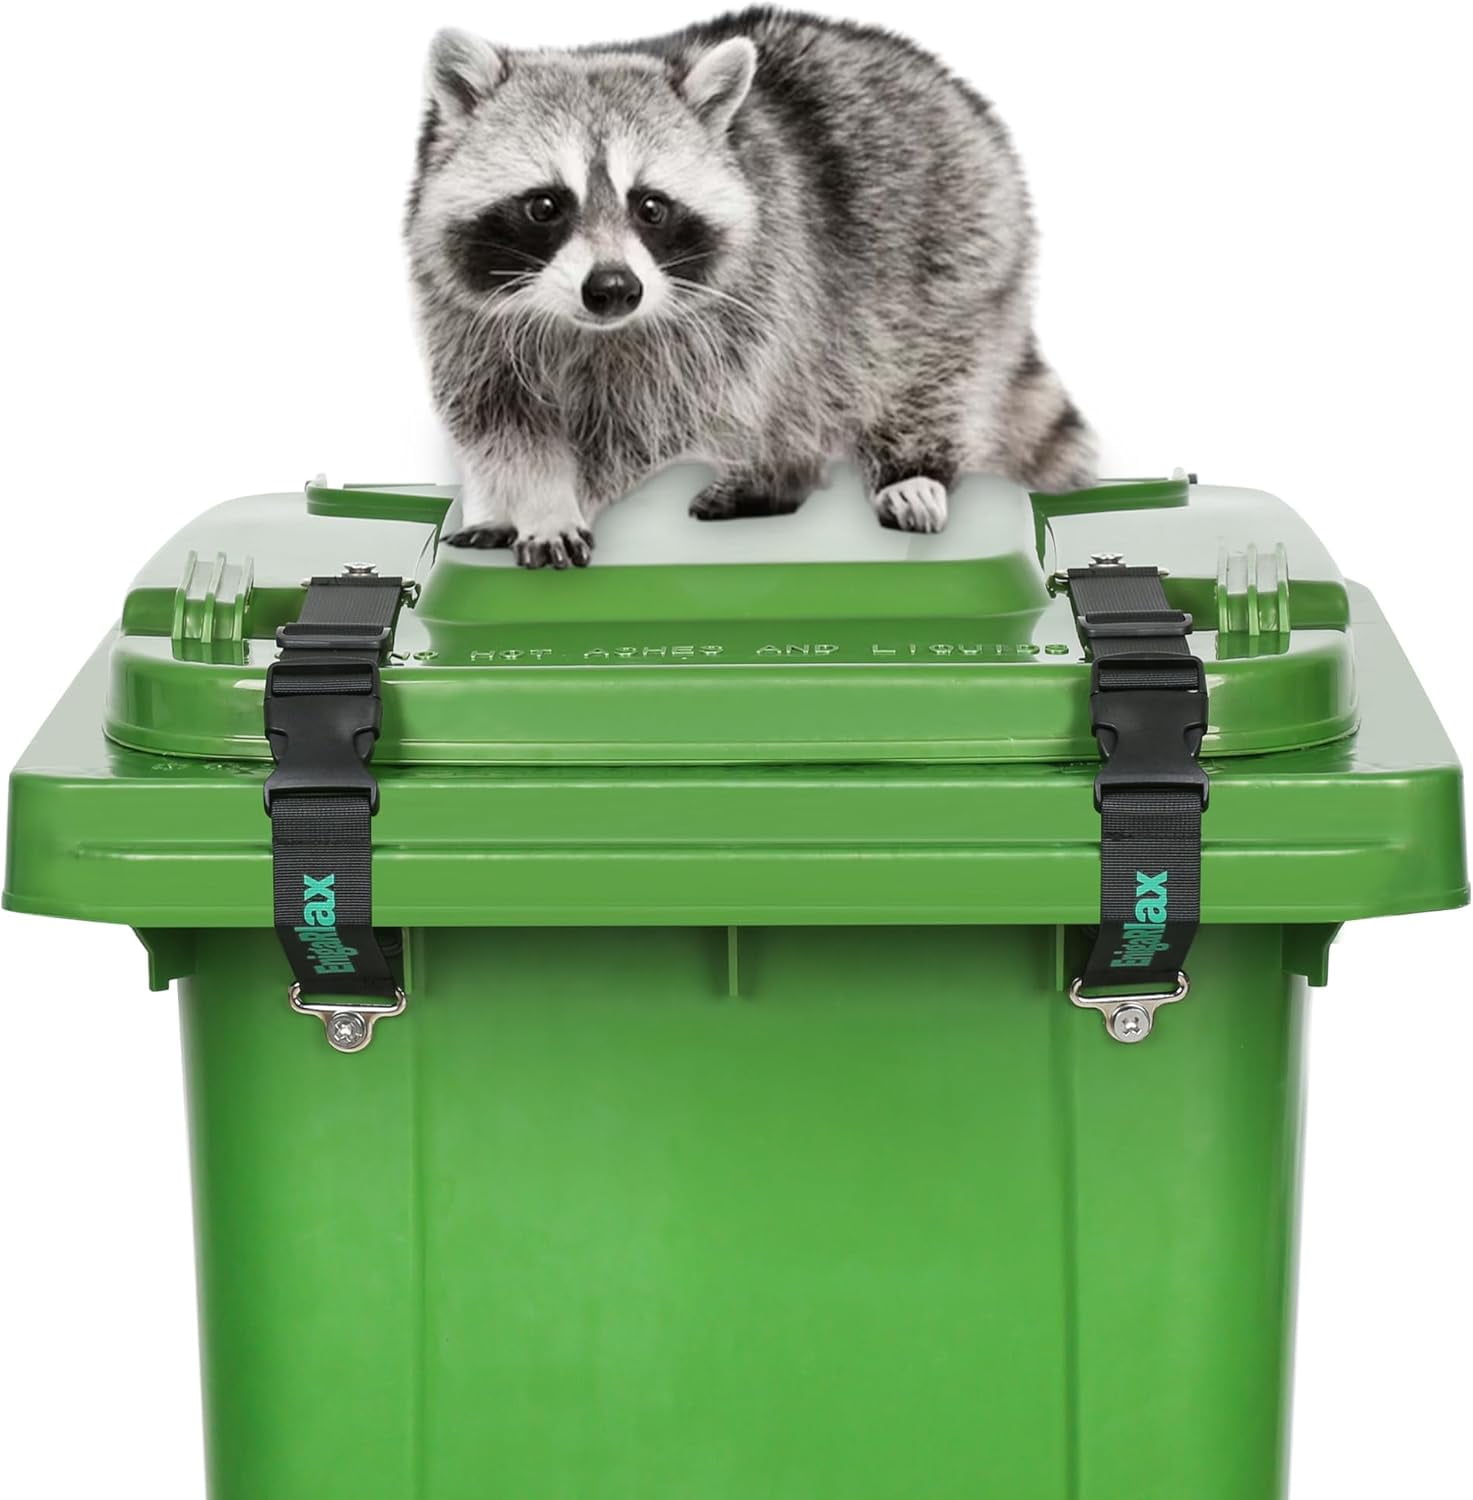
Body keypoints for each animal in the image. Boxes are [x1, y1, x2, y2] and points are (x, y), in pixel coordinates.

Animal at [406, 8, 1097, 567]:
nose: (614, 289)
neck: (588, 330)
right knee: (798, 396)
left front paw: (561, 499)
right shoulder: (466, 314)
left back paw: (911, 470)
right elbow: (497, 415)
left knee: (919, 368)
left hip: (954, 244)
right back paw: (777, 479)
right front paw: (514, 499)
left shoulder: (728, 310)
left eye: (651, 207)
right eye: (545, 205)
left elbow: (639, 429)